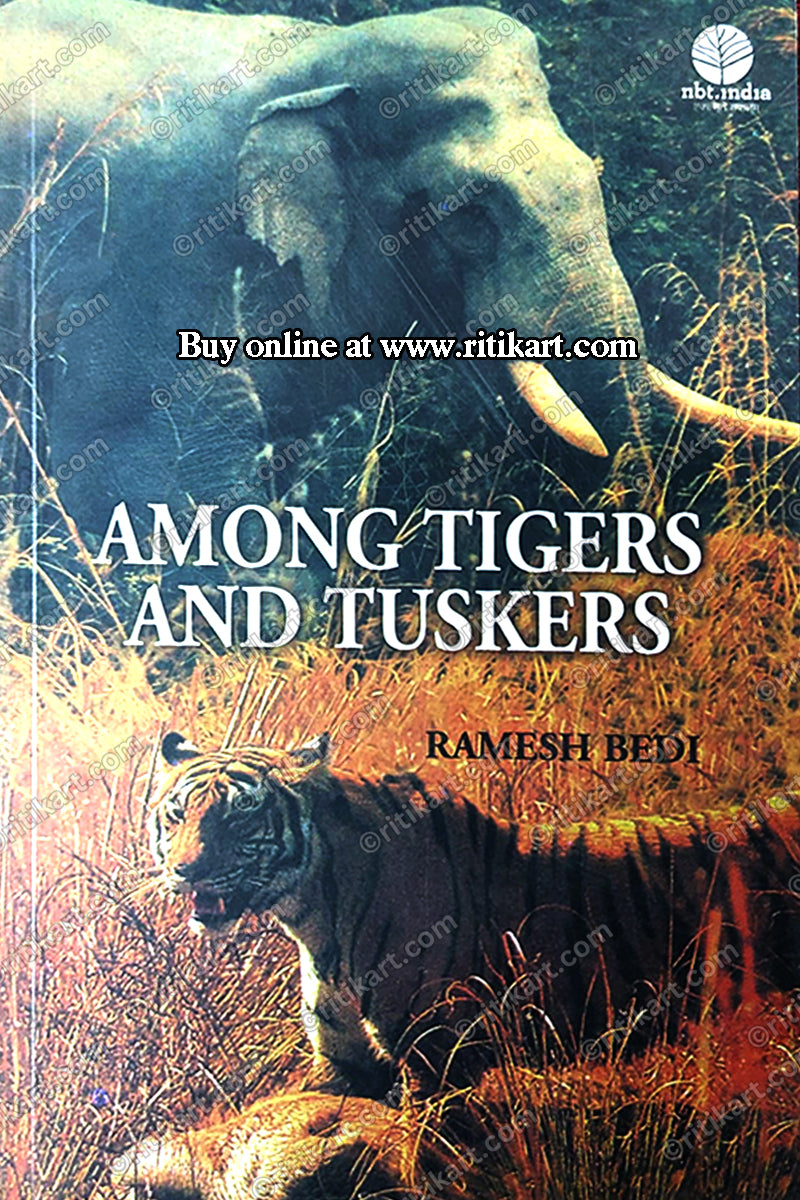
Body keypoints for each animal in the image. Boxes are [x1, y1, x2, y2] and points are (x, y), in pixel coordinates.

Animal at [149, 731, 800, 1099]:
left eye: (239, 816)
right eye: (176, 814)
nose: (185, 871)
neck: (313, 918)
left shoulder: (436, 1059)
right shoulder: (344, 1066)